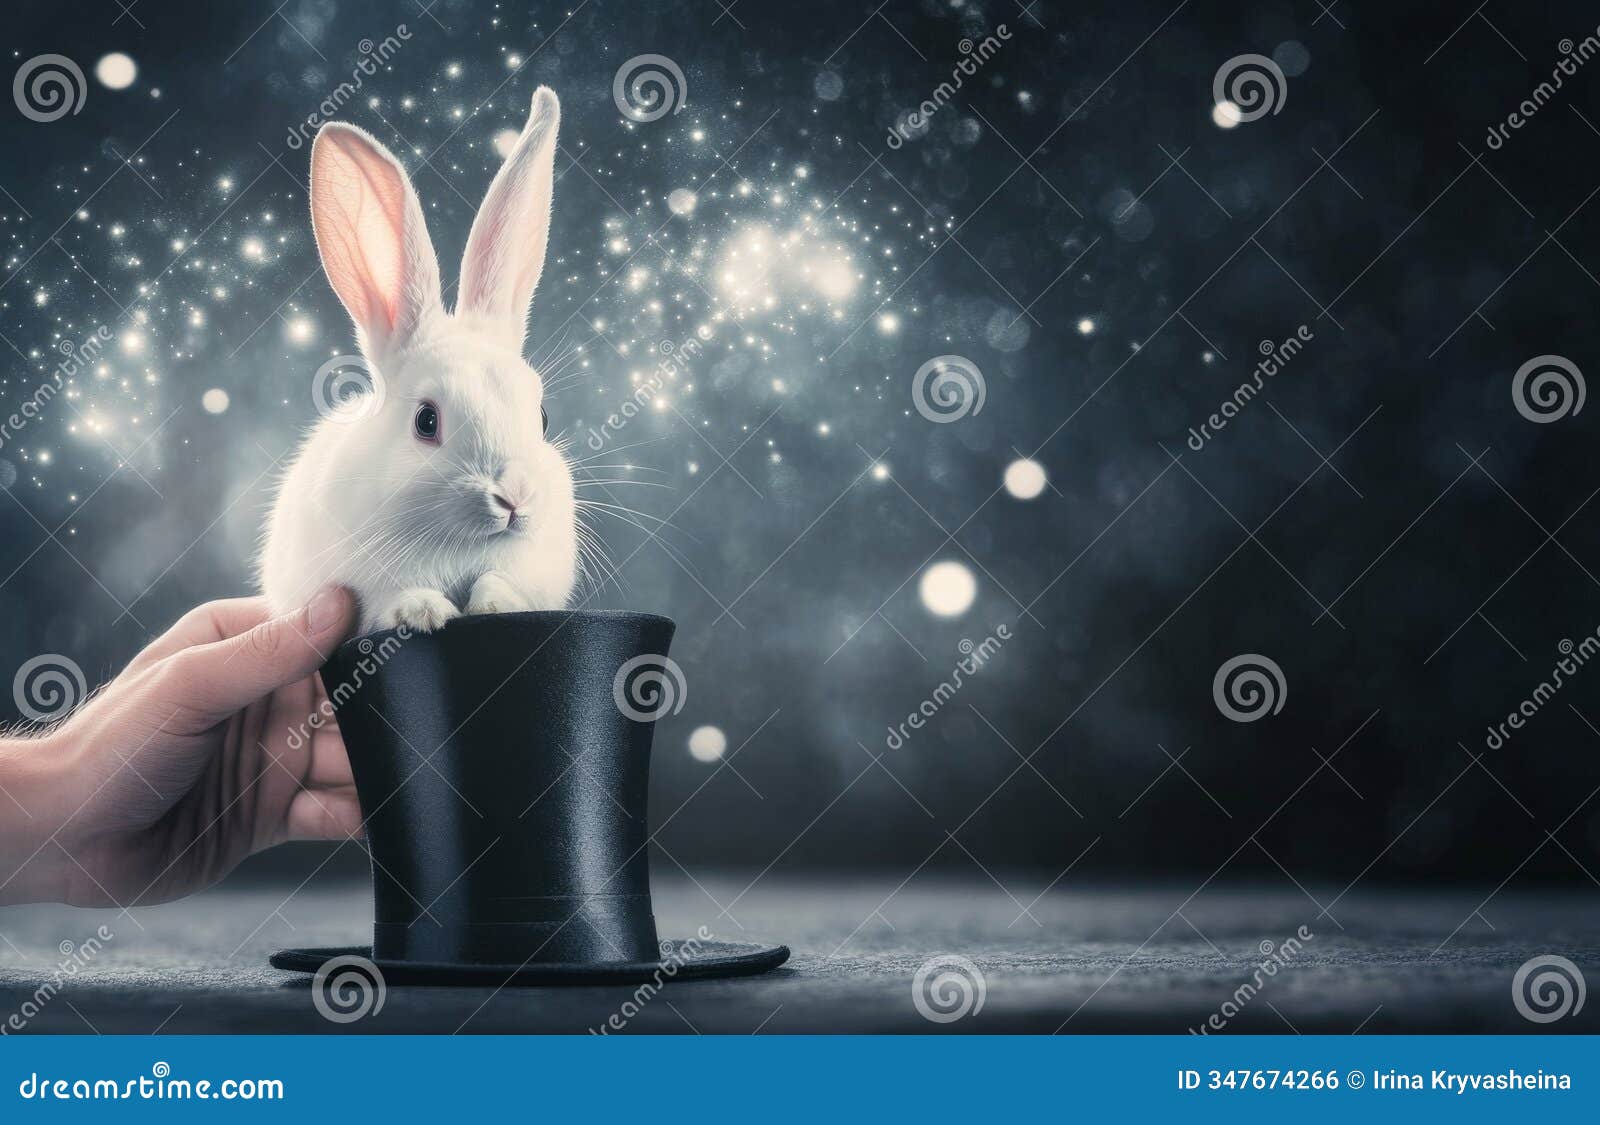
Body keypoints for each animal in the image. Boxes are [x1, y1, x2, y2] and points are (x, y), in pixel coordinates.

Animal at [260, 87, 577, 635]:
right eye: (425, 421)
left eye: (541, 417)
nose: (514, 495)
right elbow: (392, 597)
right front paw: (424, 611)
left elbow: (503, 582)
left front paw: (494, 603)